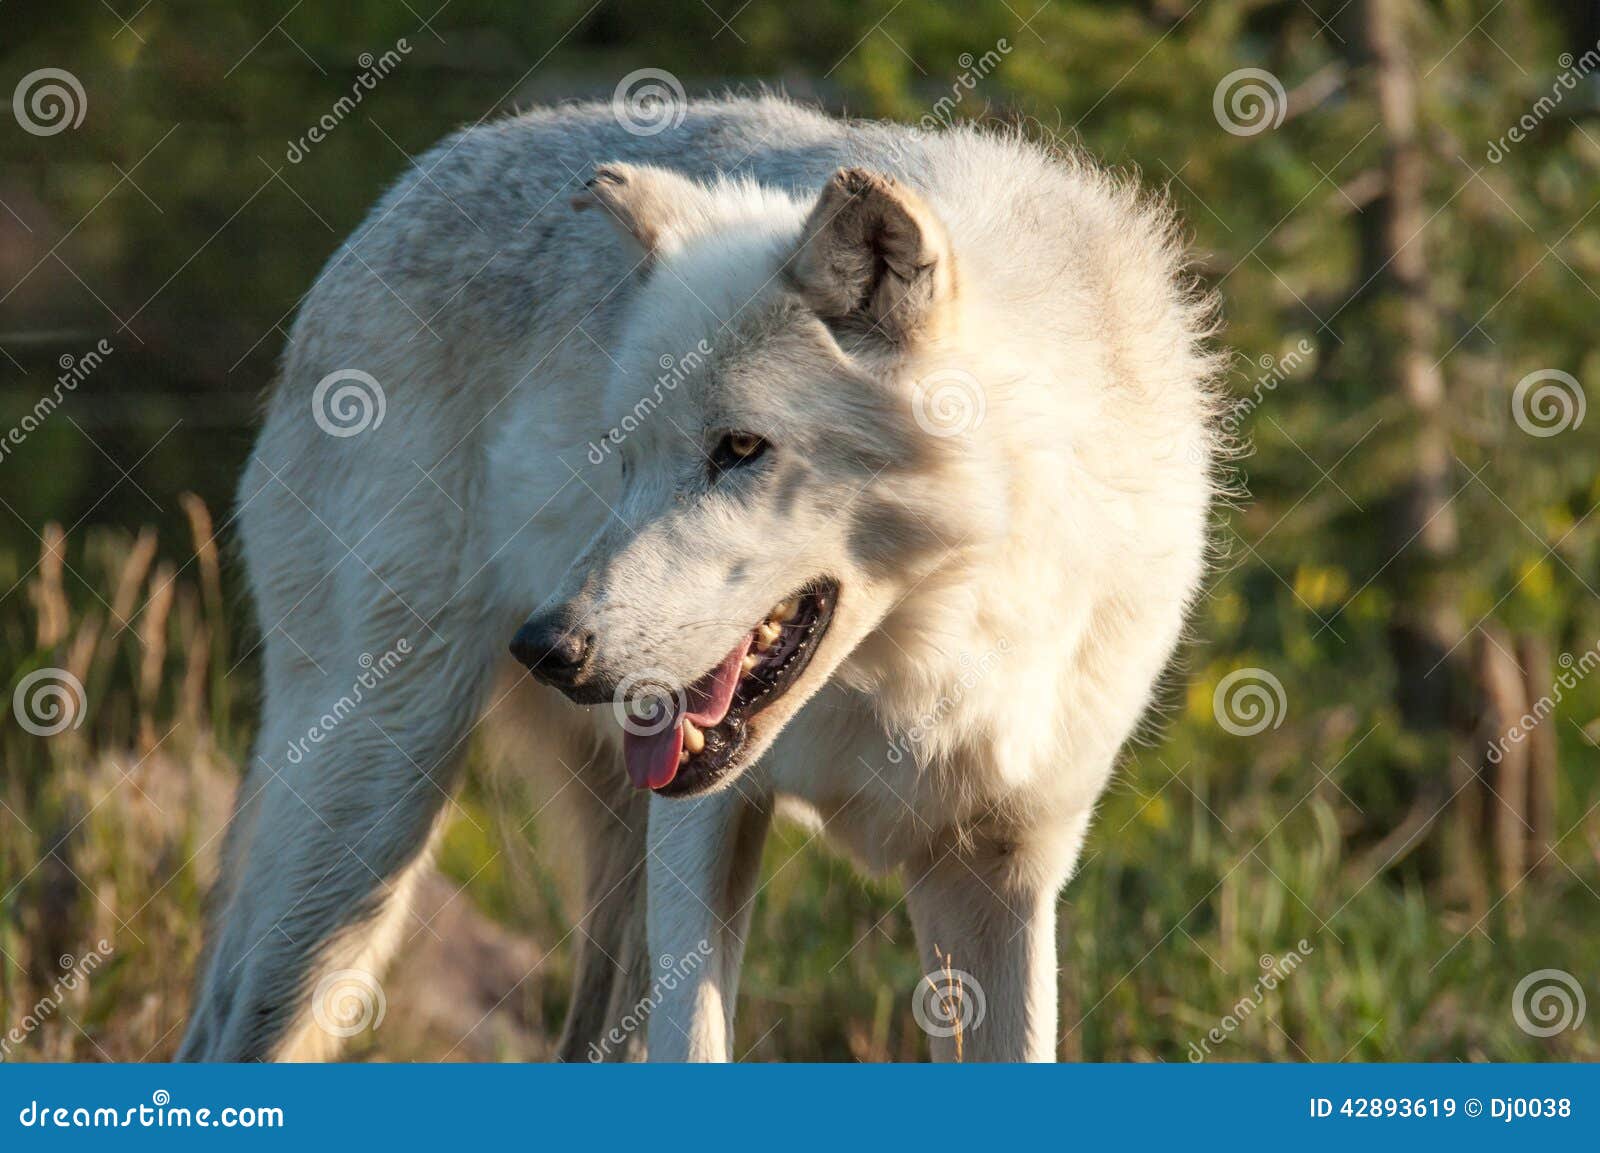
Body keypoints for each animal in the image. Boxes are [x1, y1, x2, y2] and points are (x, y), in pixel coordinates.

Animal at [178, 93, 1223, 1062]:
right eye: (622, 455)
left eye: (741, 448)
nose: (548, 646)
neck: (931, 658)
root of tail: (399, 194)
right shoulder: (705, 821)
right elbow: (698, 1040)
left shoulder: (1001, 870)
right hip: (372, 813)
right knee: (231, 1026)